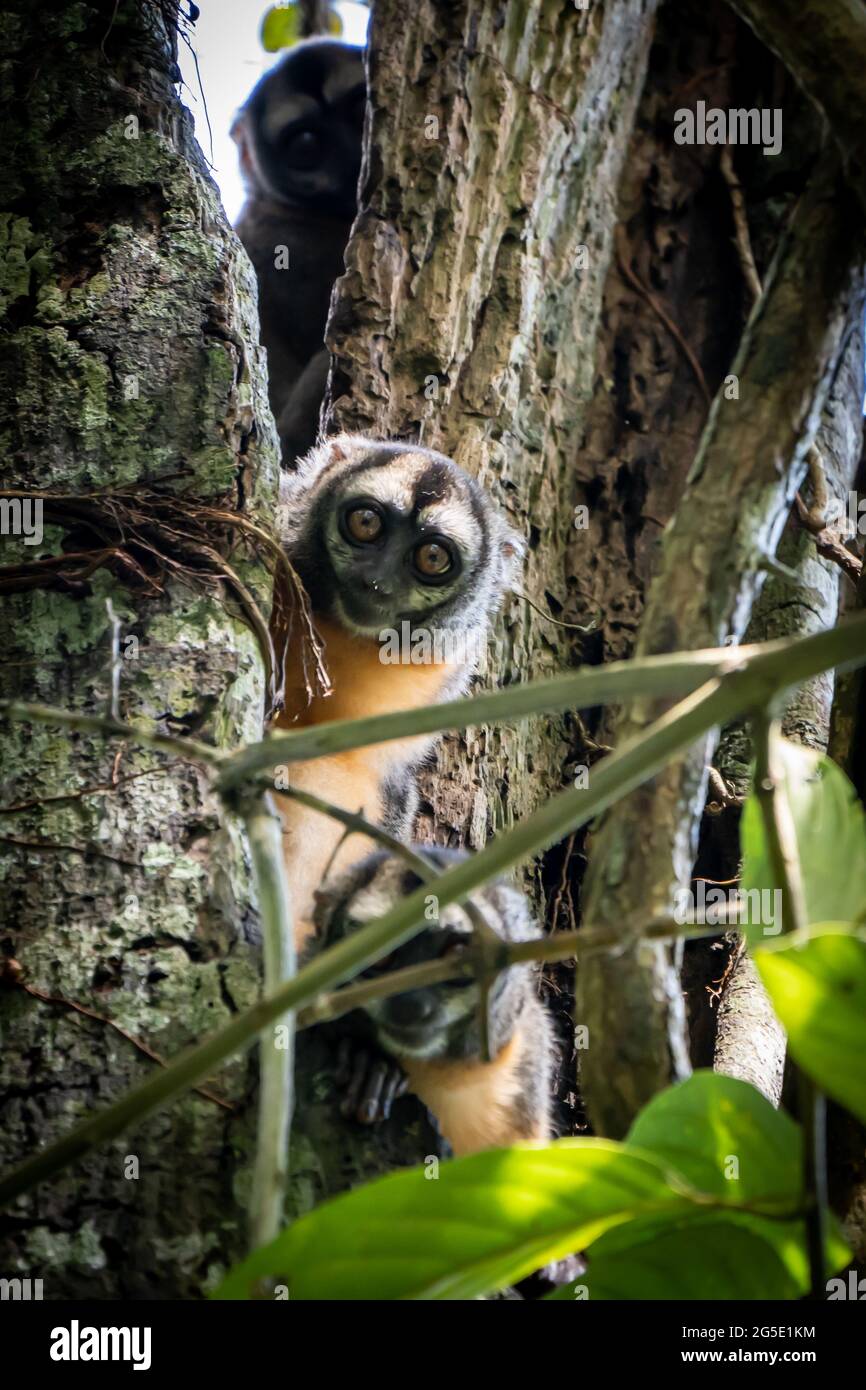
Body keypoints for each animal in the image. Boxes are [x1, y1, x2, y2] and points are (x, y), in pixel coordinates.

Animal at [311, 846, 555, 1157]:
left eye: (457, 955)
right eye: (380, 955)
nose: (410, 1006)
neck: (439, 1069)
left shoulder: (526, 1060)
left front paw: (370, 1072)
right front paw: (366, 1067)